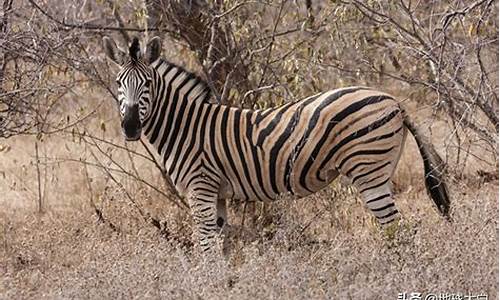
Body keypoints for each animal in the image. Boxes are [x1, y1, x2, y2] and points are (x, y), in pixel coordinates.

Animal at [103, 35, 452, 253]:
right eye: (118, 83)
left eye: (147, 83)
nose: (130, 128)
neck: (185, 127)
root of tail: (394, 101)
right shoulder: (217, 193)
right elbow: (218, 247)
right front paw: (224, 284)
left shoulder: (200, 186)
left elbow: (205, 249)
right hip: (378, 170)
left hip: (369, 170)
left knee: (396, 230)